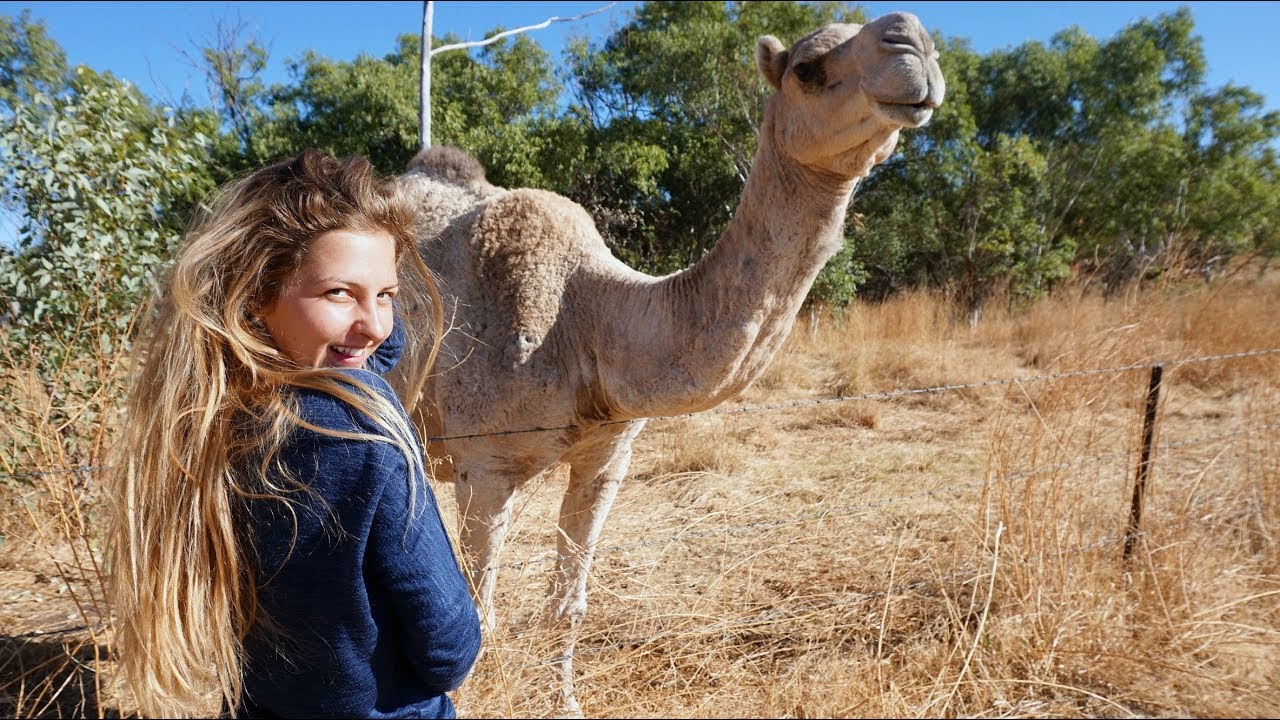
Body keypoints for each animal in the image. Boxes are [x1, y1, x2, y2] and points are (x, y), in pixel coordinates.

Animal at [391, 11, 944, 712]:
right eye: (808, 69)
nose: (912, 41)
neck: (586, 320)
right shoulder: (485, 464)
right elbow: (479, 613)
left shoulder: (606, 456)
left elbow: (566, 607)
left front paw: (567, 704)